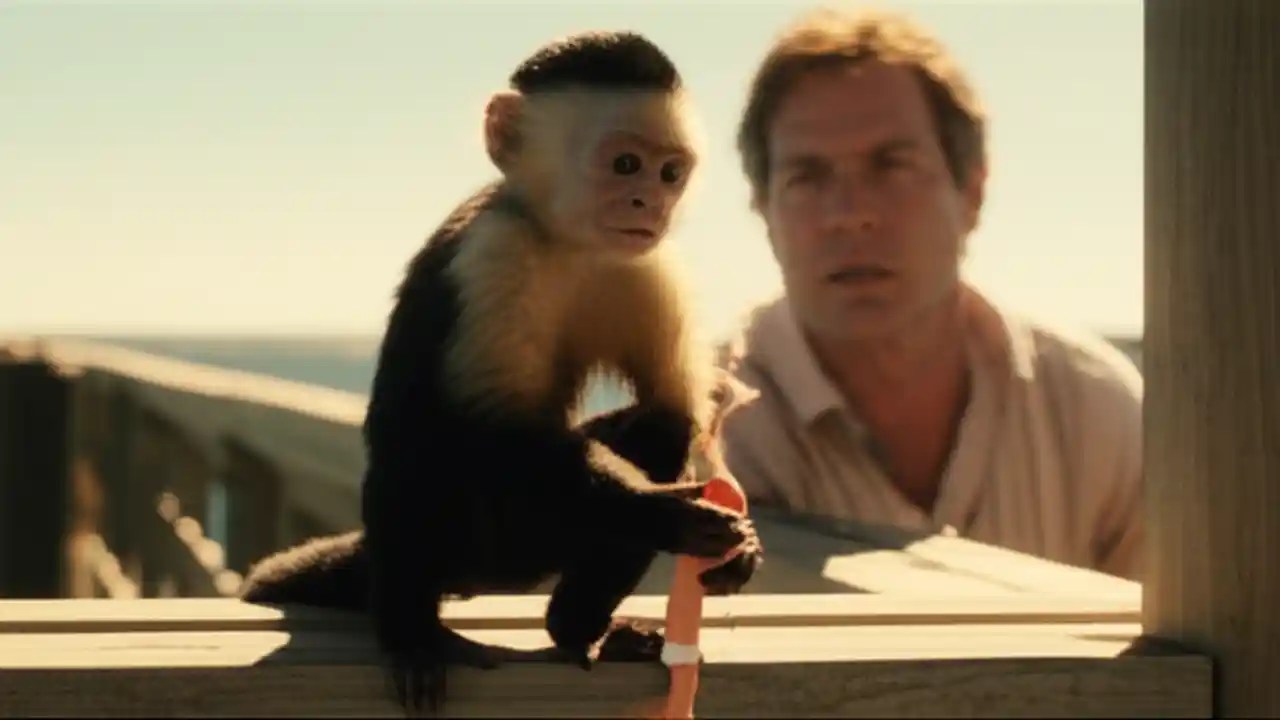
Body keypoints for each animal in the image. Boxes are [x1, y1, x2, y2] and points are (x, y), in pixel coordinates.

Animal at [238, 30, 763, 715]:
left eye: (670, 172)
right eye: (625, 165)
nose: (650, 201)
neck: (564, 239)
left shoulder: (652, 264)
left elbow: (677, 406)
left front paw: (737, 553)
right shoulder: (494, 253)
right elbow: (500, 435)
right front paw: (660, 512)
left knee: (660, 425)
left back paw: (577, 629)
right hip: (465, 541)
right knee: (418, 479)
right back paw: (412, 630)